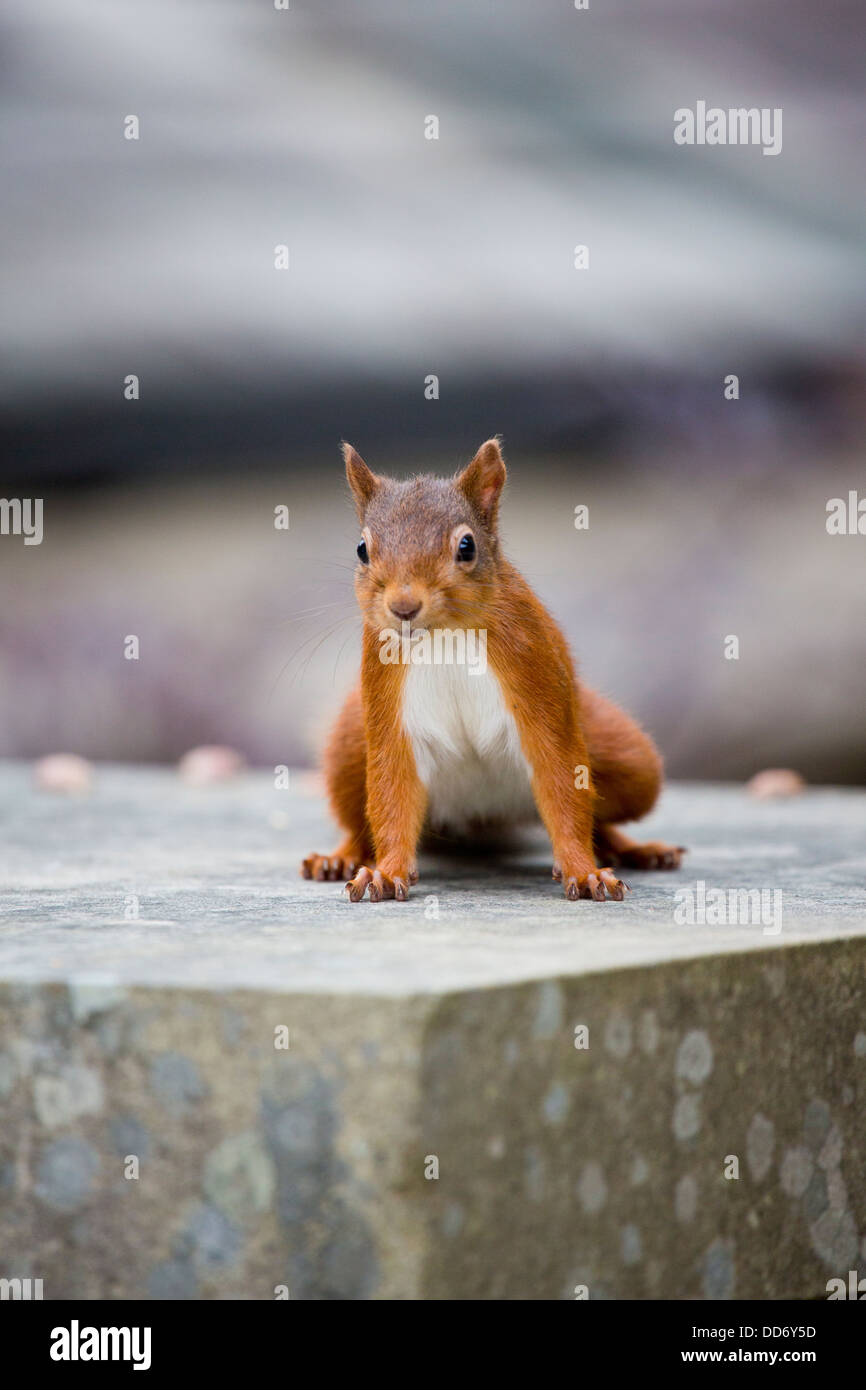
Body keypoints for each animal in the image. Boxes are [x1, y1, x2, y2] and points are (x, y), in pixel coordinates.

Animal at [302, 438, 685, 902]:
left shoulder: (536, 676)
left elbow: (564, 779)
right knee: (358, 821)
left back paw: (636, 849)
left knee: (602, 813)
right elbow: (390, 790)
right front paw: (388, 871)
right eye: (362, 550)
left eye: (466, 546)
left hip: (629, 760)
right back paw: (339, 858)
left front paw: (583, 870)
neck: (445, 635)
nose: (403, 607)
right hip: (347, 745)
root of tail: (482, 815)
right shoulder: (384, 697)